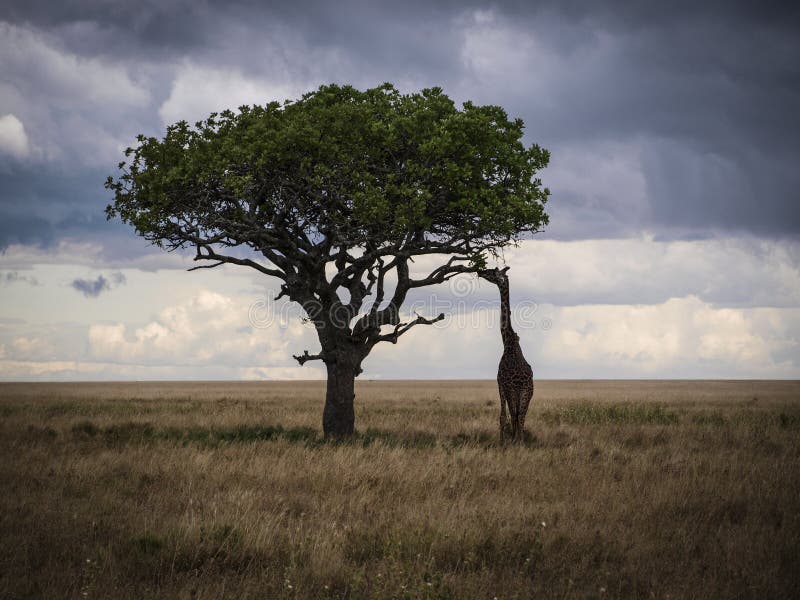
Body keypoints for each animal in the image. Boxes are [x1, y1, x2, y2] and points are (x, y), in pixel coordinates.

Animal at [479, 266, 534, 442]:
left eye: (492, 272)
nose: (480, 271)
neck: (507, 342)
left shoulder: (501, 382)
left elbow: (503, 416)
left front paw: (502, 442)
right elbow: (512, 416)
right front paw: (511, 440)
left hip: (516, 391)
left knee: (515, 415)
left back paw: (516, 440)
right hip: (527, 393)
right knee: (521, 415)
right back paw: (520, 441)